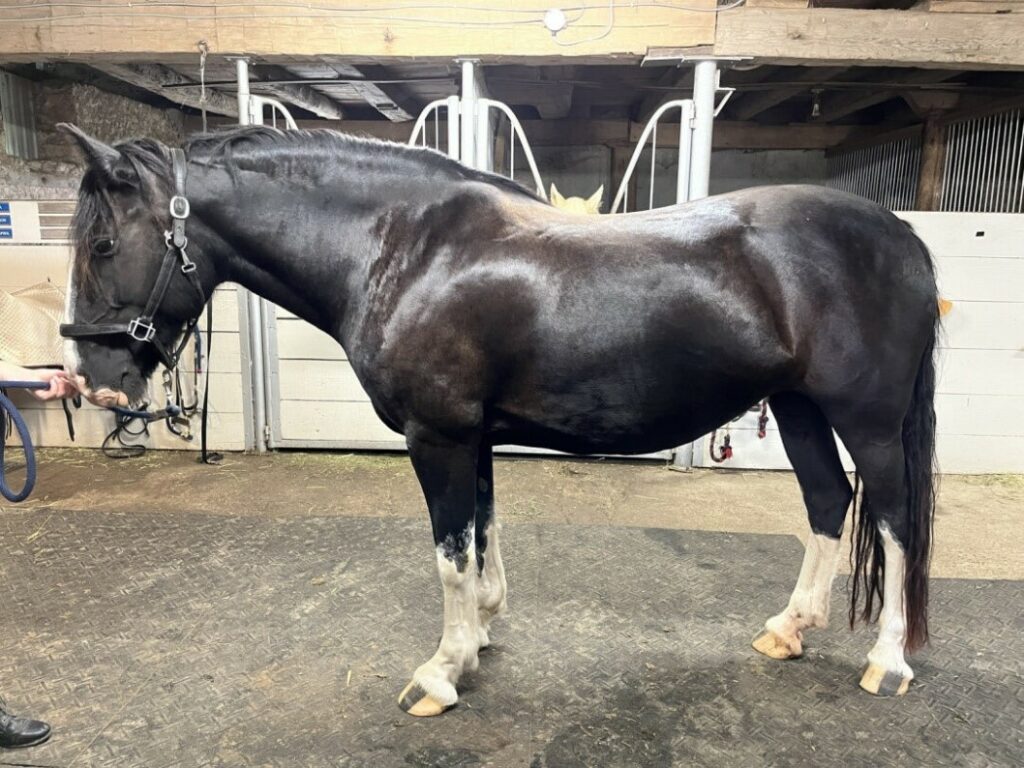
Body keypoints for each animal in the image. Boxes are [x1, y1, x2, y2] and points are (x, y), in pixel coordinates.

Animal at [58, 123, 938, 716]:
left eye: (101, 246)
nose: (94, 383)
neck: (404, 250)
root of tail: (900, 235)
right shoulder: (471, 436)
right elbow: (481, 534)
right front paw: (479, 635)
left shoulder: (438, 436)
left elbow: (450, 552)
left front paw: (441, 672)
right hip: (797, 408)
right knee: (828, 504)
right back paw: (789, 629)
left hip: (866, 419)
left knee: (893, 522)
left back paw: (888, 661)